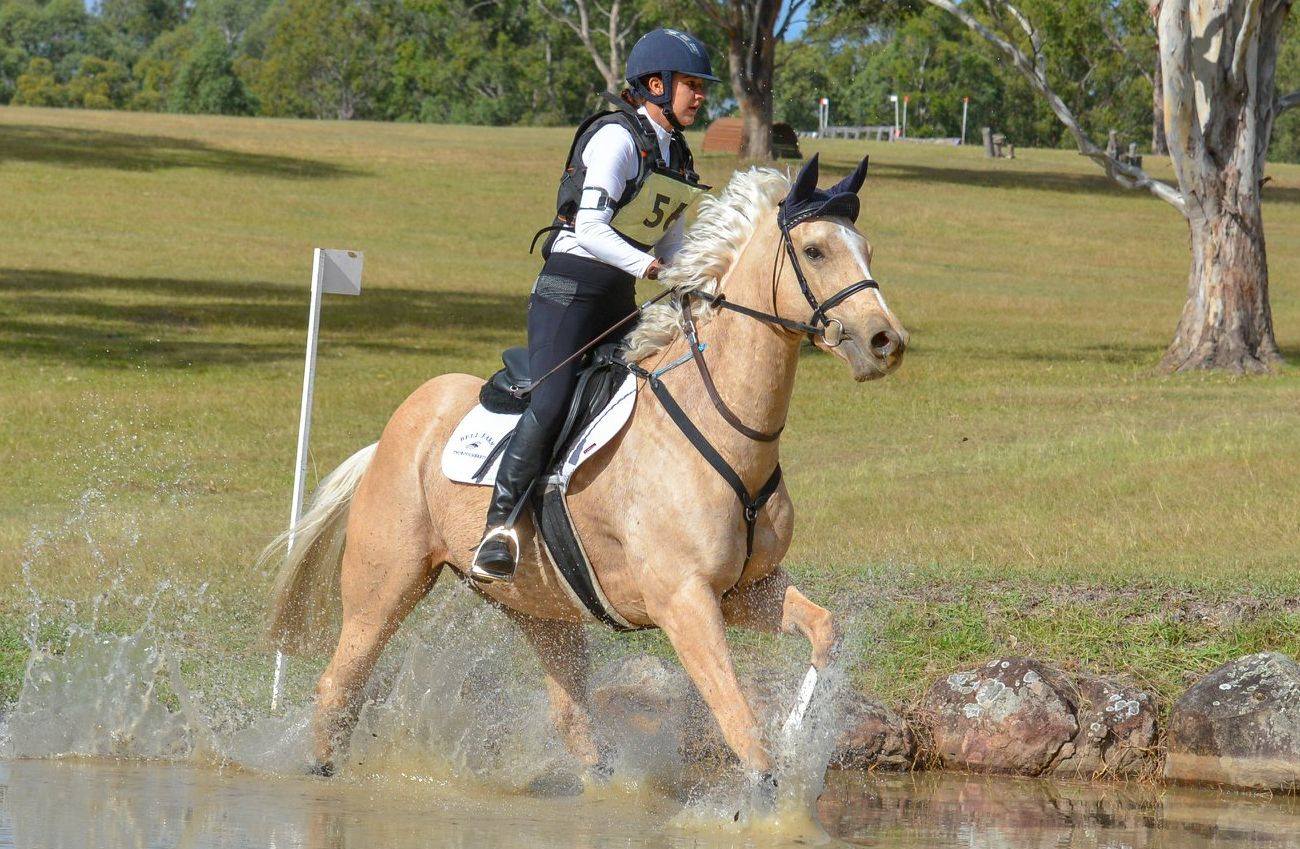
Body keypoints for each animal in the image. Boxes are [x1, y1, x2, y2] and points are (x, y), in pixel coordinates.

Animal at [262, 155, 908, 783]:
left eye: (867, 249)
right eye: (814, 251)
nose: (885, 341)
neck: (726, 428)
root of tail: (392, 434)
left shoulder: (745, 591)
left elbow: (825, 633)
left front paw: (801, 740)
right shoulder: (685, 602)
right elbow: (740, 724)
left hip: (542, 608)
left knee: (572, 717)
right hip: (387, 582)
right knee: (339, 684)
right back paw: (319, 772)